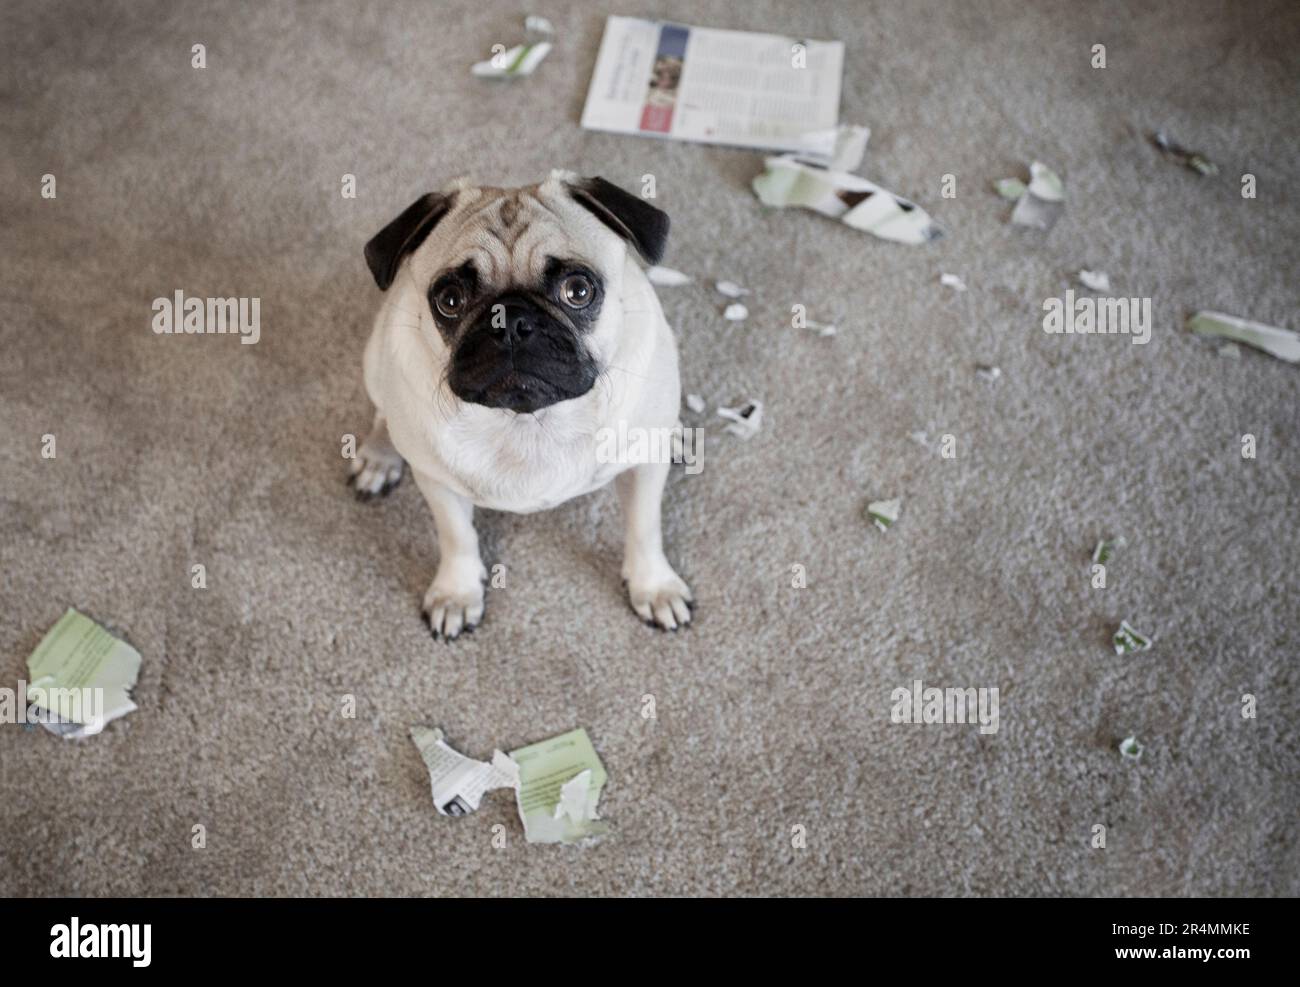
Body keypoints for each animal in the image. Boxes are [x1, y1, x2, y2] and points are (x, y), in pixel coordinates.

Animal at [345, 172, 691, 639]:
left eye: (578, 290)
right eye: (449, 300)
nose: (509, 322)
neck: (527, 420)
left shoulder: (643, 471)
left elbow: (644, 529)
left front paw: (653, 586)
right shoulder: (437, 482)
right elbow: (457, 538)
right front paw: (457, 593)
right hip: (375, 358)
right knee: (383, 412)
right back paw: (380, 455)